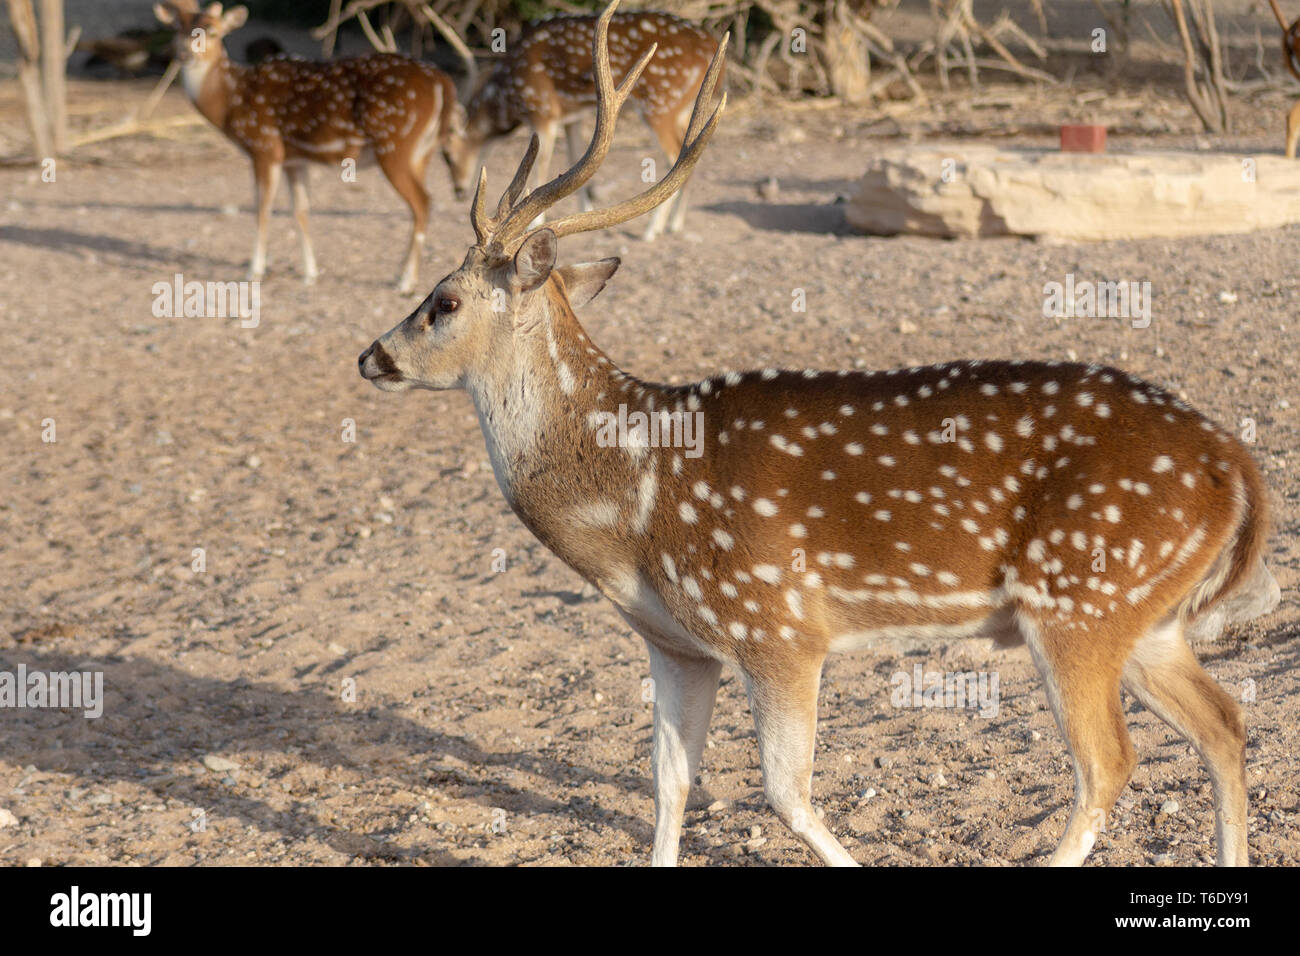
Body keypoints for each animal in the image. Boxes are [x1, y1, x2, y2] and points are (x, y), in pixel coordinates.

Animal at [154, 1, 465, 293]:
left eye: (214, 30)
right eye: (176, 29)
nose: (184, 55)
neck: (230, 101)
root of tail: (443, 81)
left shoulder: (264, 146)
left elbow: (262, 207)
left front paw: (254, 270)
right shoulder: (294, 159)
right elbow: (301, 209)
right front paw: (310, 273)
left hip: (396, 143)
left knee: (423, 202)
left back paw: (406, 281)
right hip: (422, 151)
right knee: (422, 202)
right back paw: (402, 275)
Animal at [442, 9, 721, 240]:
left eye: (446, 154)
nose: (458, 190)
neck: (508, 97)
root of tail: (711, 44)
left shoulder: (543, 110)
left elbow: (542, 162)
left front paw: (536, 223)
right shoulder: (571, 117)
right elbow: (575, 156)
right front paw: (585, 208)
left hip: (661, 104)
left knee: (673, 155)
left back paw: (651, 230)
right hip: (682, 108)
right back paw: (674, 224)